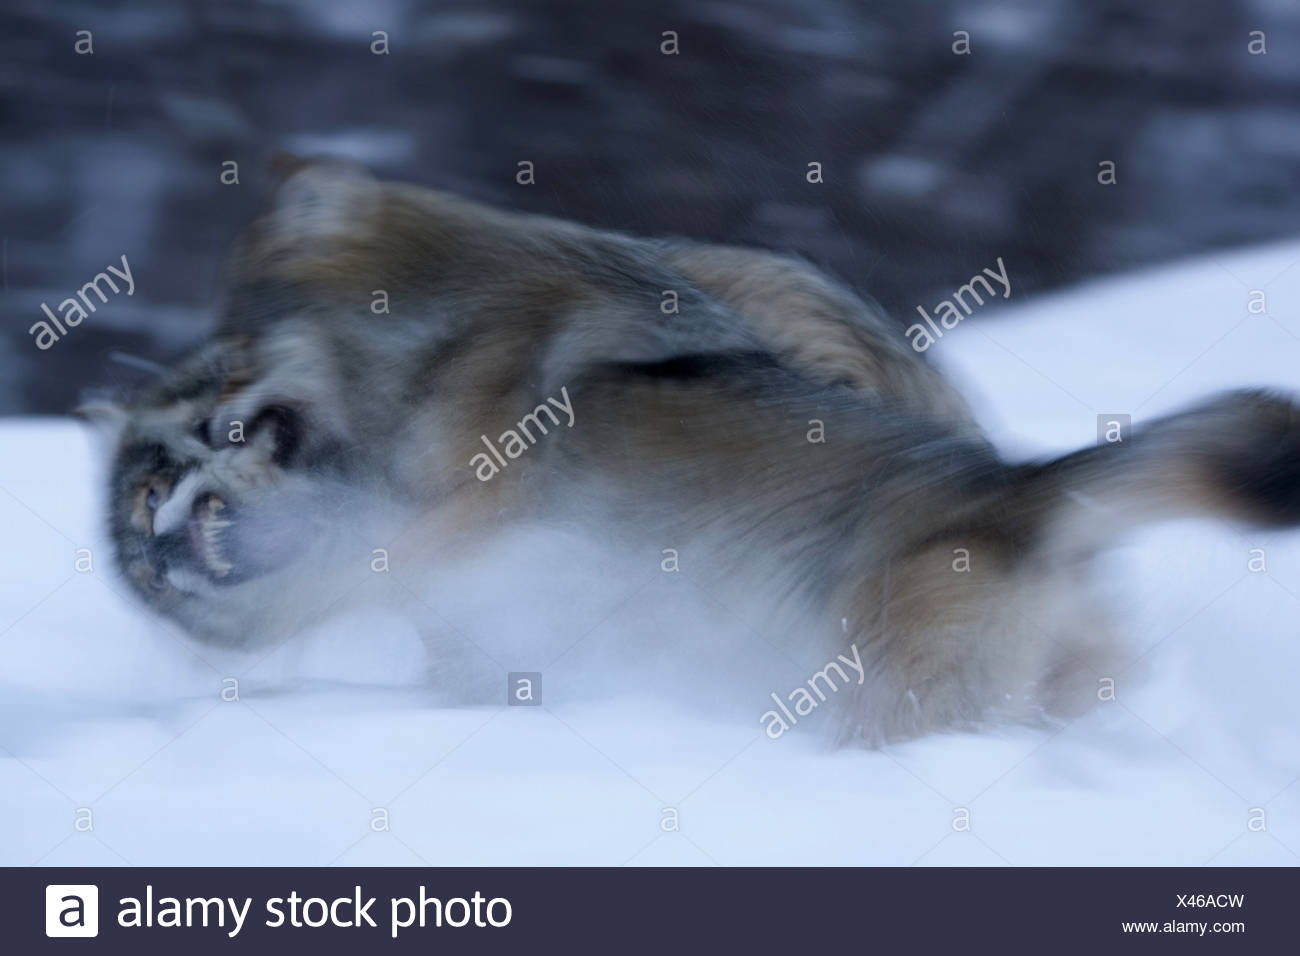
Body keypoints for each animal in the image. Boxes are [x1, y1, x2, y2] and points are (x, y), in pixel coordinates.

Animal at [84, 158, 1300, 745]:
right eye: (146, 492)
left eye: (226, 427)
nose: (171, 518)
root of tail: (1011, 490)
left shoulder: (467, 519)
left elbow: (368, 579)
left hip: (884, 703)